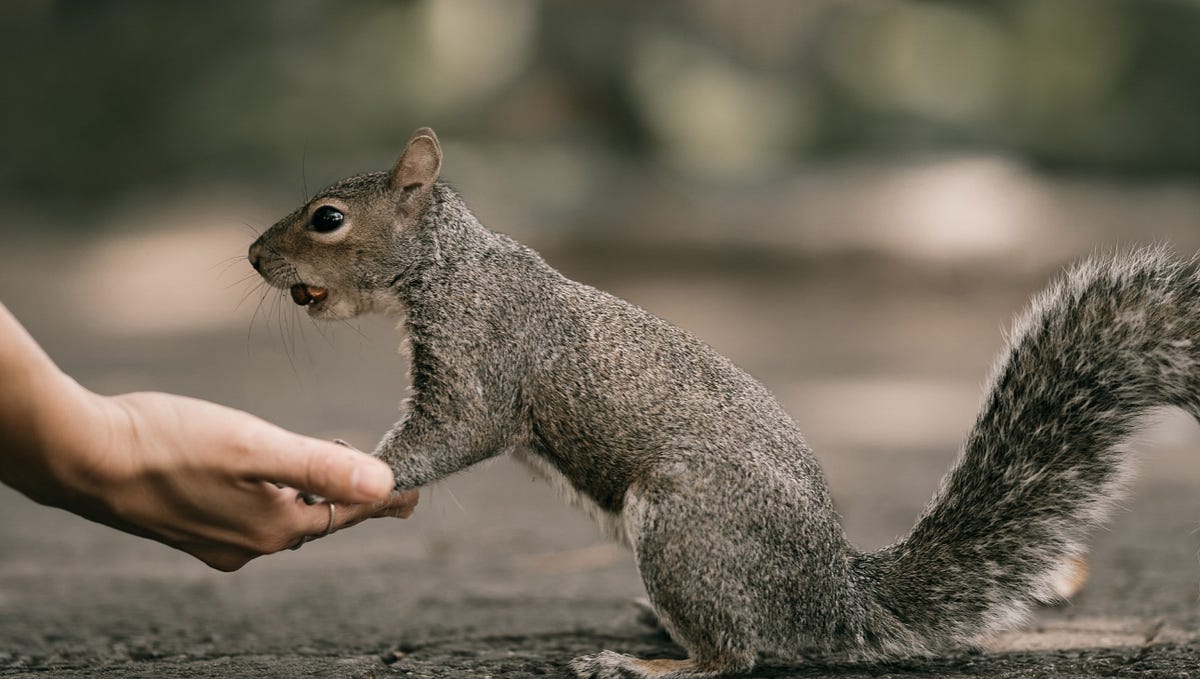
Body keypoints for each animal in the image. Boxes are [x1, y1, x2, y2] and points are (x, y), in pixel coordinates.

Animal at [249, 127, 1196, 678]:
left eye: (327, 218)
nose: (255, 255)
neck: (451, 262)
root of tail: (833, 596)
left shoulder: (483, 356)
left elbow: (455, 429)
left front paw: (361, 470)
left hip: (684, 526)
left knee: (734, 656)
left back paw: (644, 664)